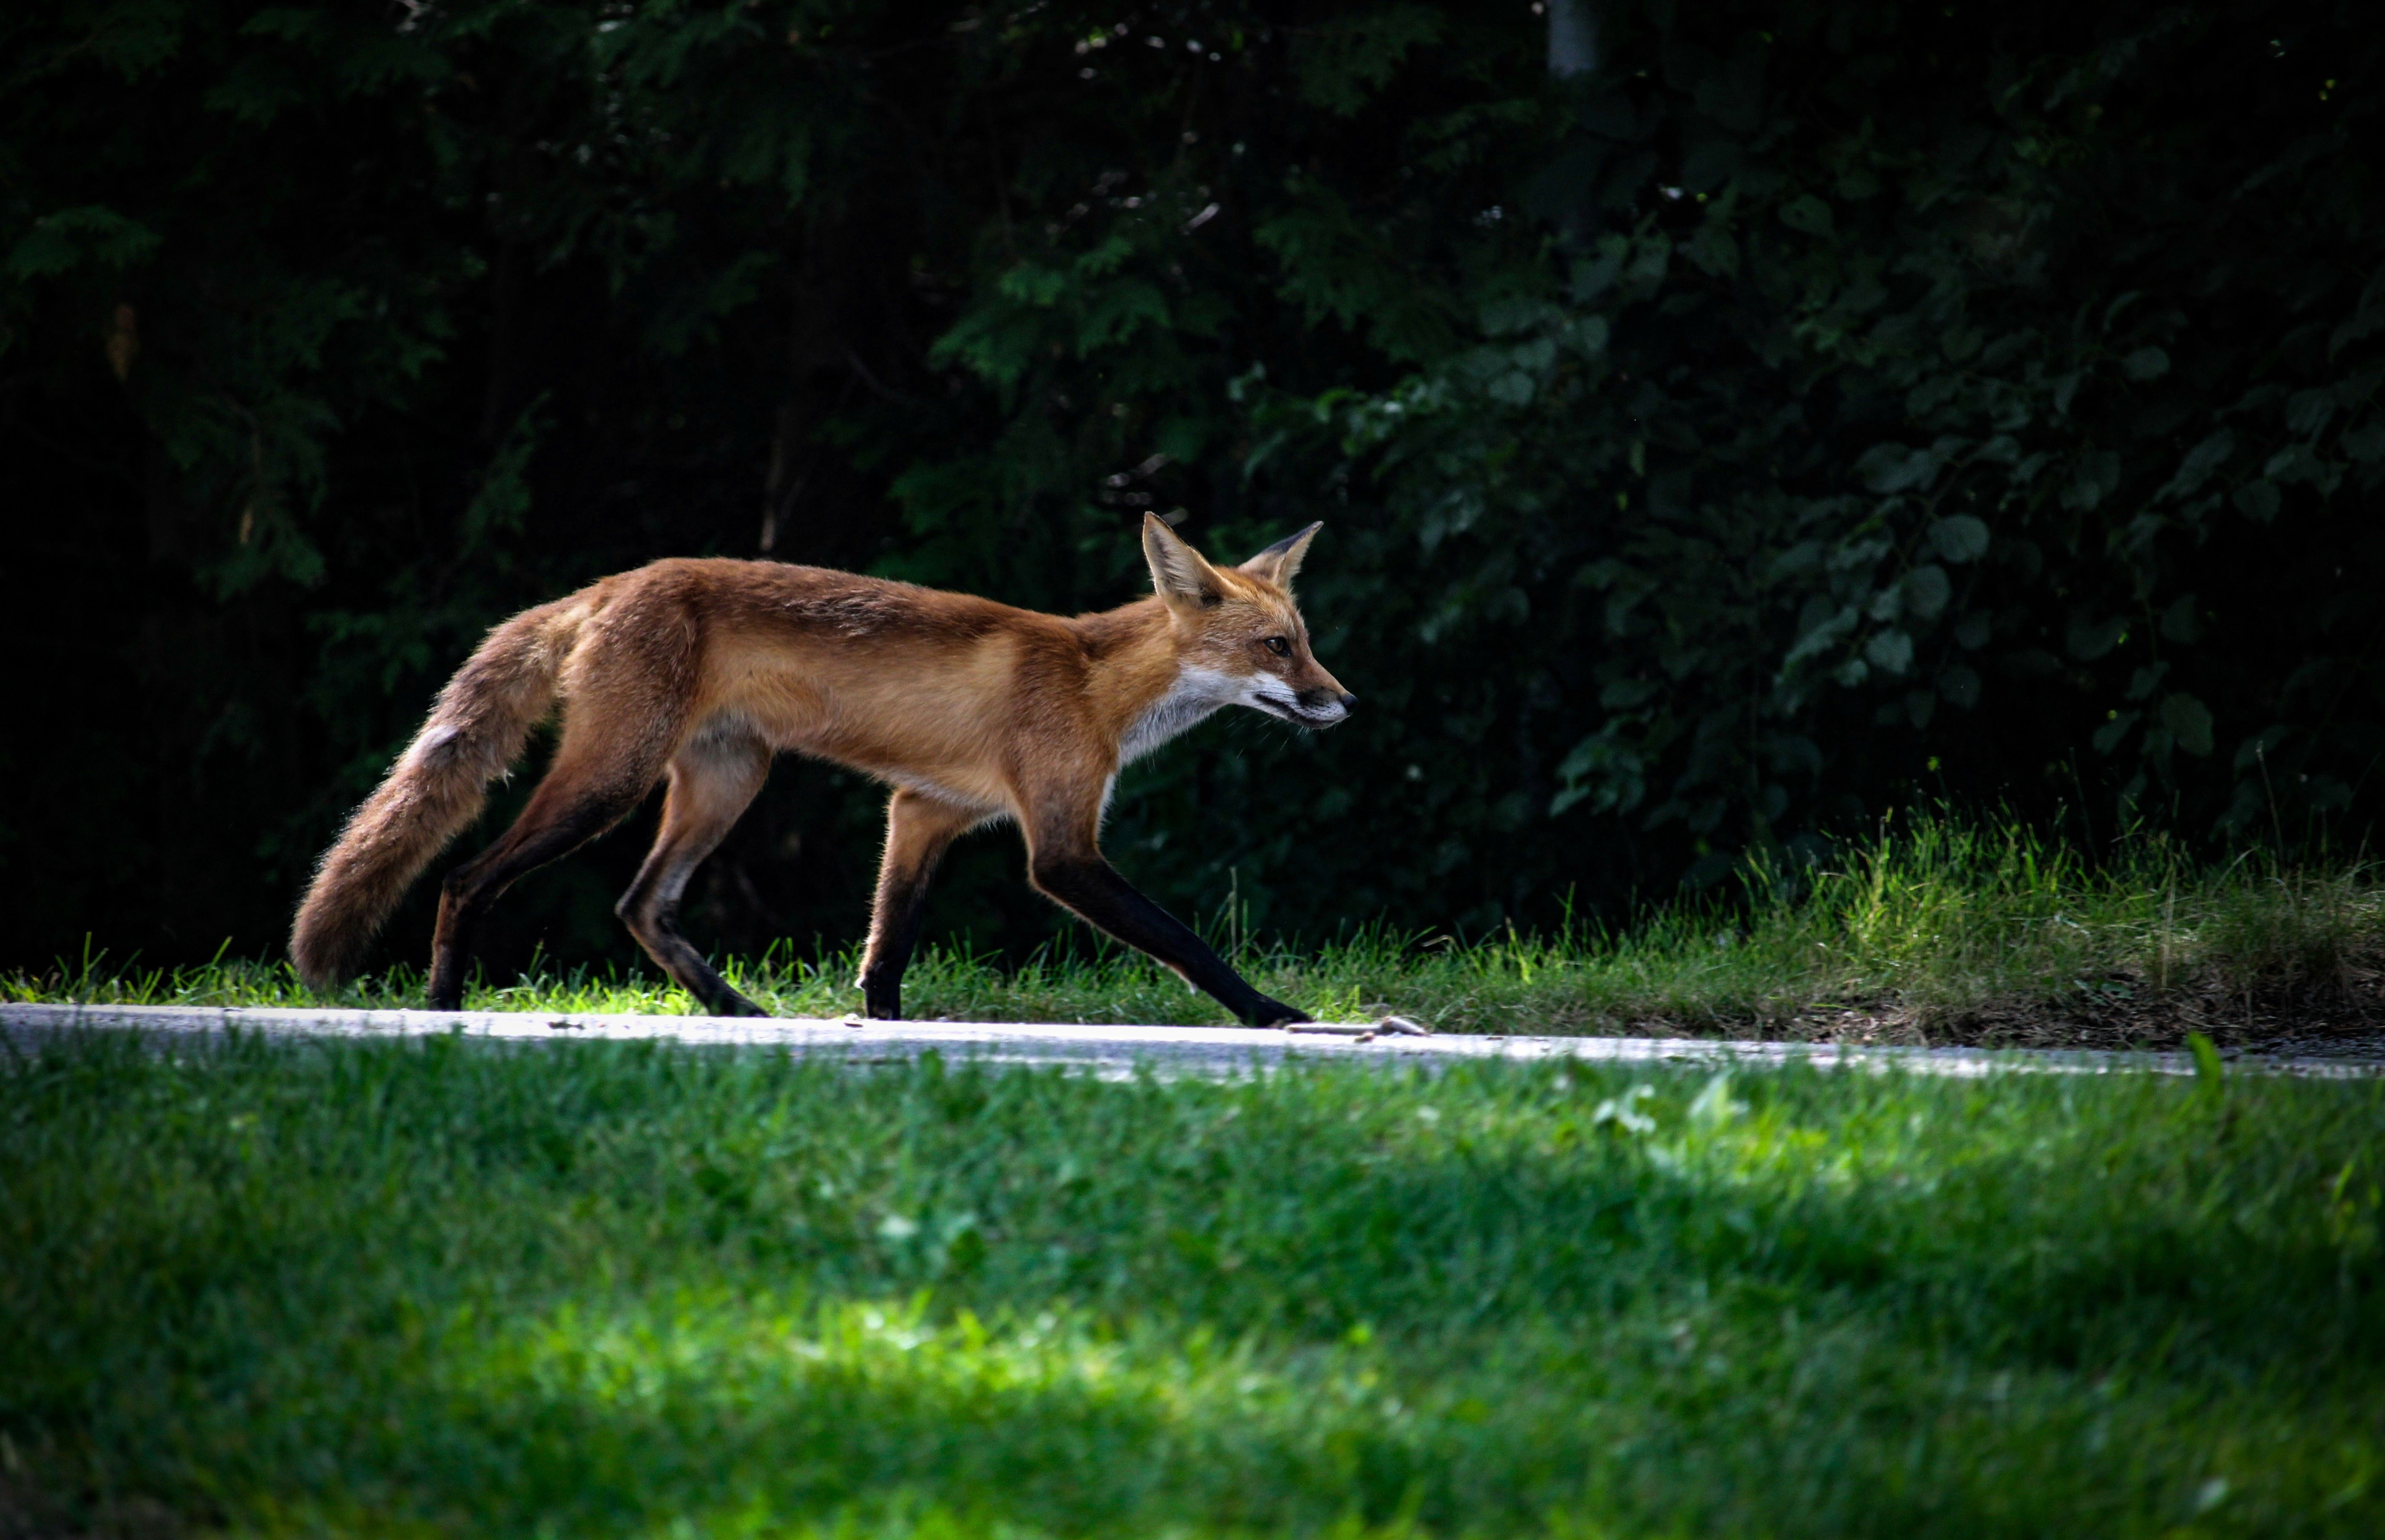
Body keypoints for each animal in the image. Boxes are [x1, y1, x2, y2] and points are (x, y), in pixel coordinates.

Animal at [289, 512, 1355, 1026]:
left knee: (641, 905)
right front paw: (1272, 1014)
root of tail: (611, 584)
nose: (1347, 703)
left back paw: (732, 1010)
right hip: (609, 783)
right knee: (468, 878)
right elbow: (1189, 943)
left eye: (1305, 642)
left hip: (724, 786)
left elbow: (888, 948)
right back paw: (445, 1010)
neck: (1094, 686)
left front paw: (884, 1029)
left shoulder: (924, 812)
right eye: (1277, 648)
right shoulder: (1060, 846)